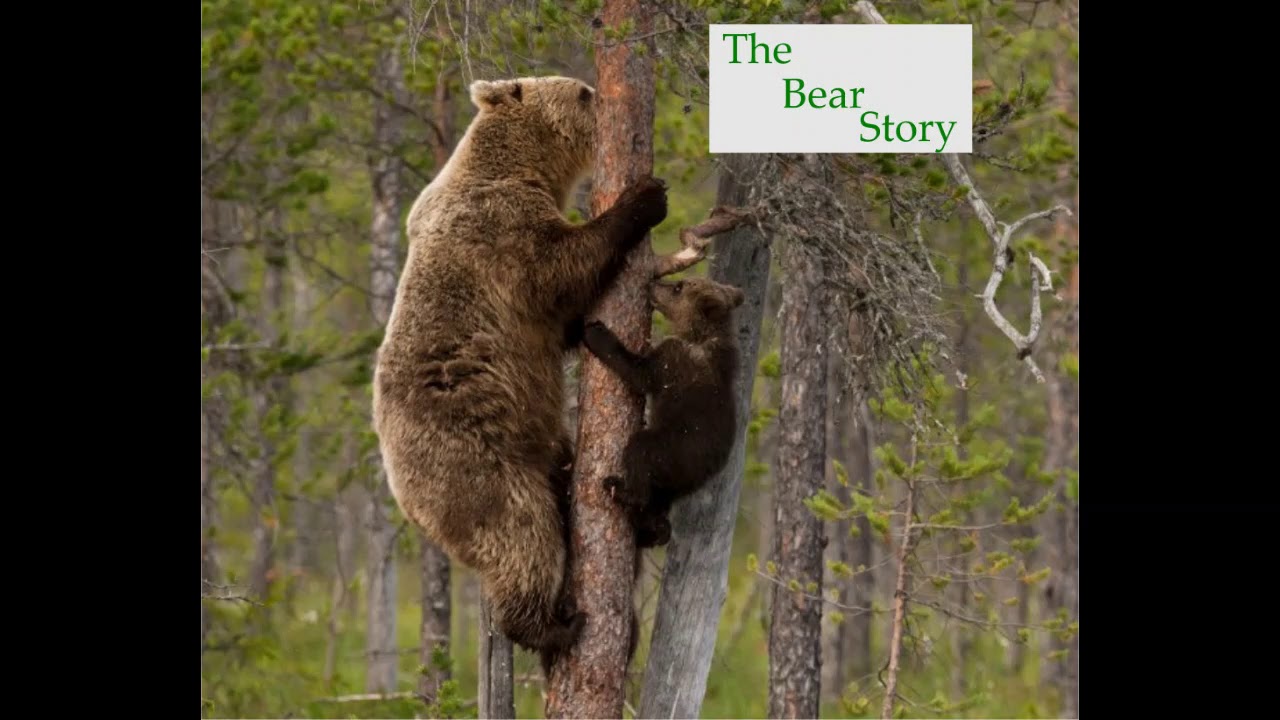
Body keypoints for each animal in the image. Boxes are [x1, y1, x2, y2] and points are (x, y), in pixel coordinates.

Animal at [371, 75, 668, 671]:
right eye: (581, 92)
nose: (598, 94)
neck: (520, 165)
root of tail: (404, 500)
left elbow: (568, 319)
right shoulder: (500, 230)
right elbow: (560, 266)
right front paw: (645, 198)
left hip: (534, 450)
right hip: (474, 460)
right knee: (522, 532)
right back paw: (554, 625)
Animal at [581, 276, 745, 549]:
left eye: (678, 287)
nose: (652, 283)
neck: (698, 335)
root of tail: (702, 475)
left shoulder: (673, 360)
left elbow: (638, 373)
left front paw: (596, 332)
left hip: (674, 451)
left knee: (640, 451)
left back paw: (621, 489)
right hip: (675, 481)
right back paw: (654, 528)